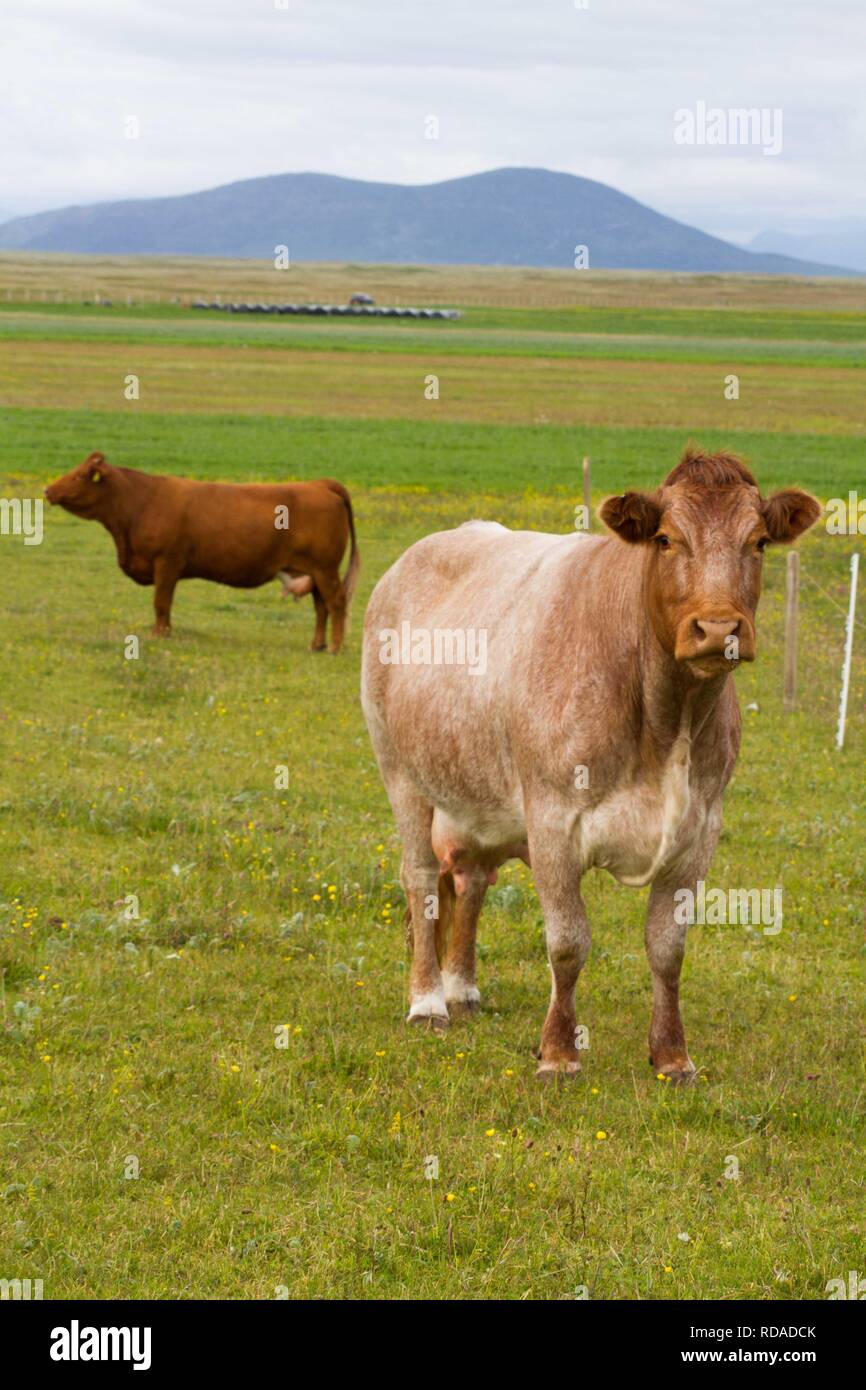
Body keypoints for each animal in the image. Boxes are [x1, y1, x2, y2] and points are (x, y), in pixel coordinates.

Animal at [44, 453, 359, 650]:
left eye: (80, 476)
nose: (48, 490)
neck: (140, 503)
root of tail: (320, 484)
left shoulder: (167, 562)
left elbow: (161, 602)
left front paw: (159, 634)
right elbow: (164, 604)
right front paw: (166, 632)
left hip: (325, 569)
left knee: (336, 603)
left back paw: (335, 646)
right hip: (314, 572)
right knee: (321, 606)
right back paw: (316, 644)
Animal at [361, 448, 819, 1080]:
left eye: (760, 542)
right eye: (666, 538)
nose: (719, 629)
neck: (666, 721)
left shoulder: (700, 830)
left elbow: (667, 947)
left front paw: (672, 1056)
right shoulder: (553, 819)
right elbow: (568, 942)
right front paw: (558, 1053)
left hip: (478, 796)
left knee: (470, 880)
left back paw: (463, 989)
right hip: (402, 773)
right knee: (422, 879)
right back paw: (428, 1002)